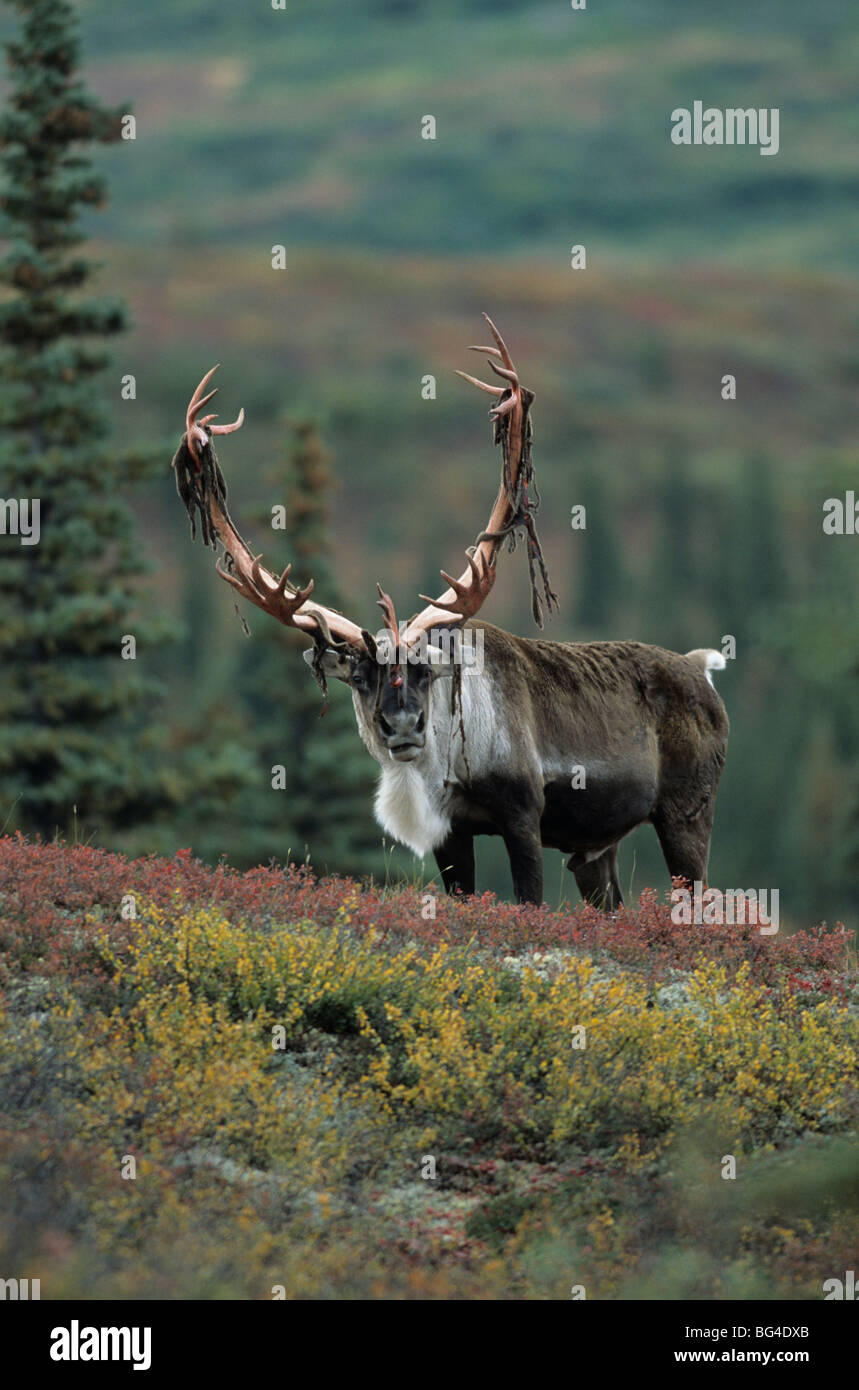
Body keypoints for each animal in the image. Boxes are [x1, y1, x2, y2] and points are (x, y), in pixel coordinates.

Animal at [171, 316, 728, 907]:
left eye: (424, 672)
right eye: (361, 678)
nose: (402, 726)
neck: (445, 767)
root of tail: (702, 667)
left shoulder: (523, 814)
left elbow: (528, 898)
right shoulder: (451, 836)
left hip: (687, 812)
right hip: (596, 848)